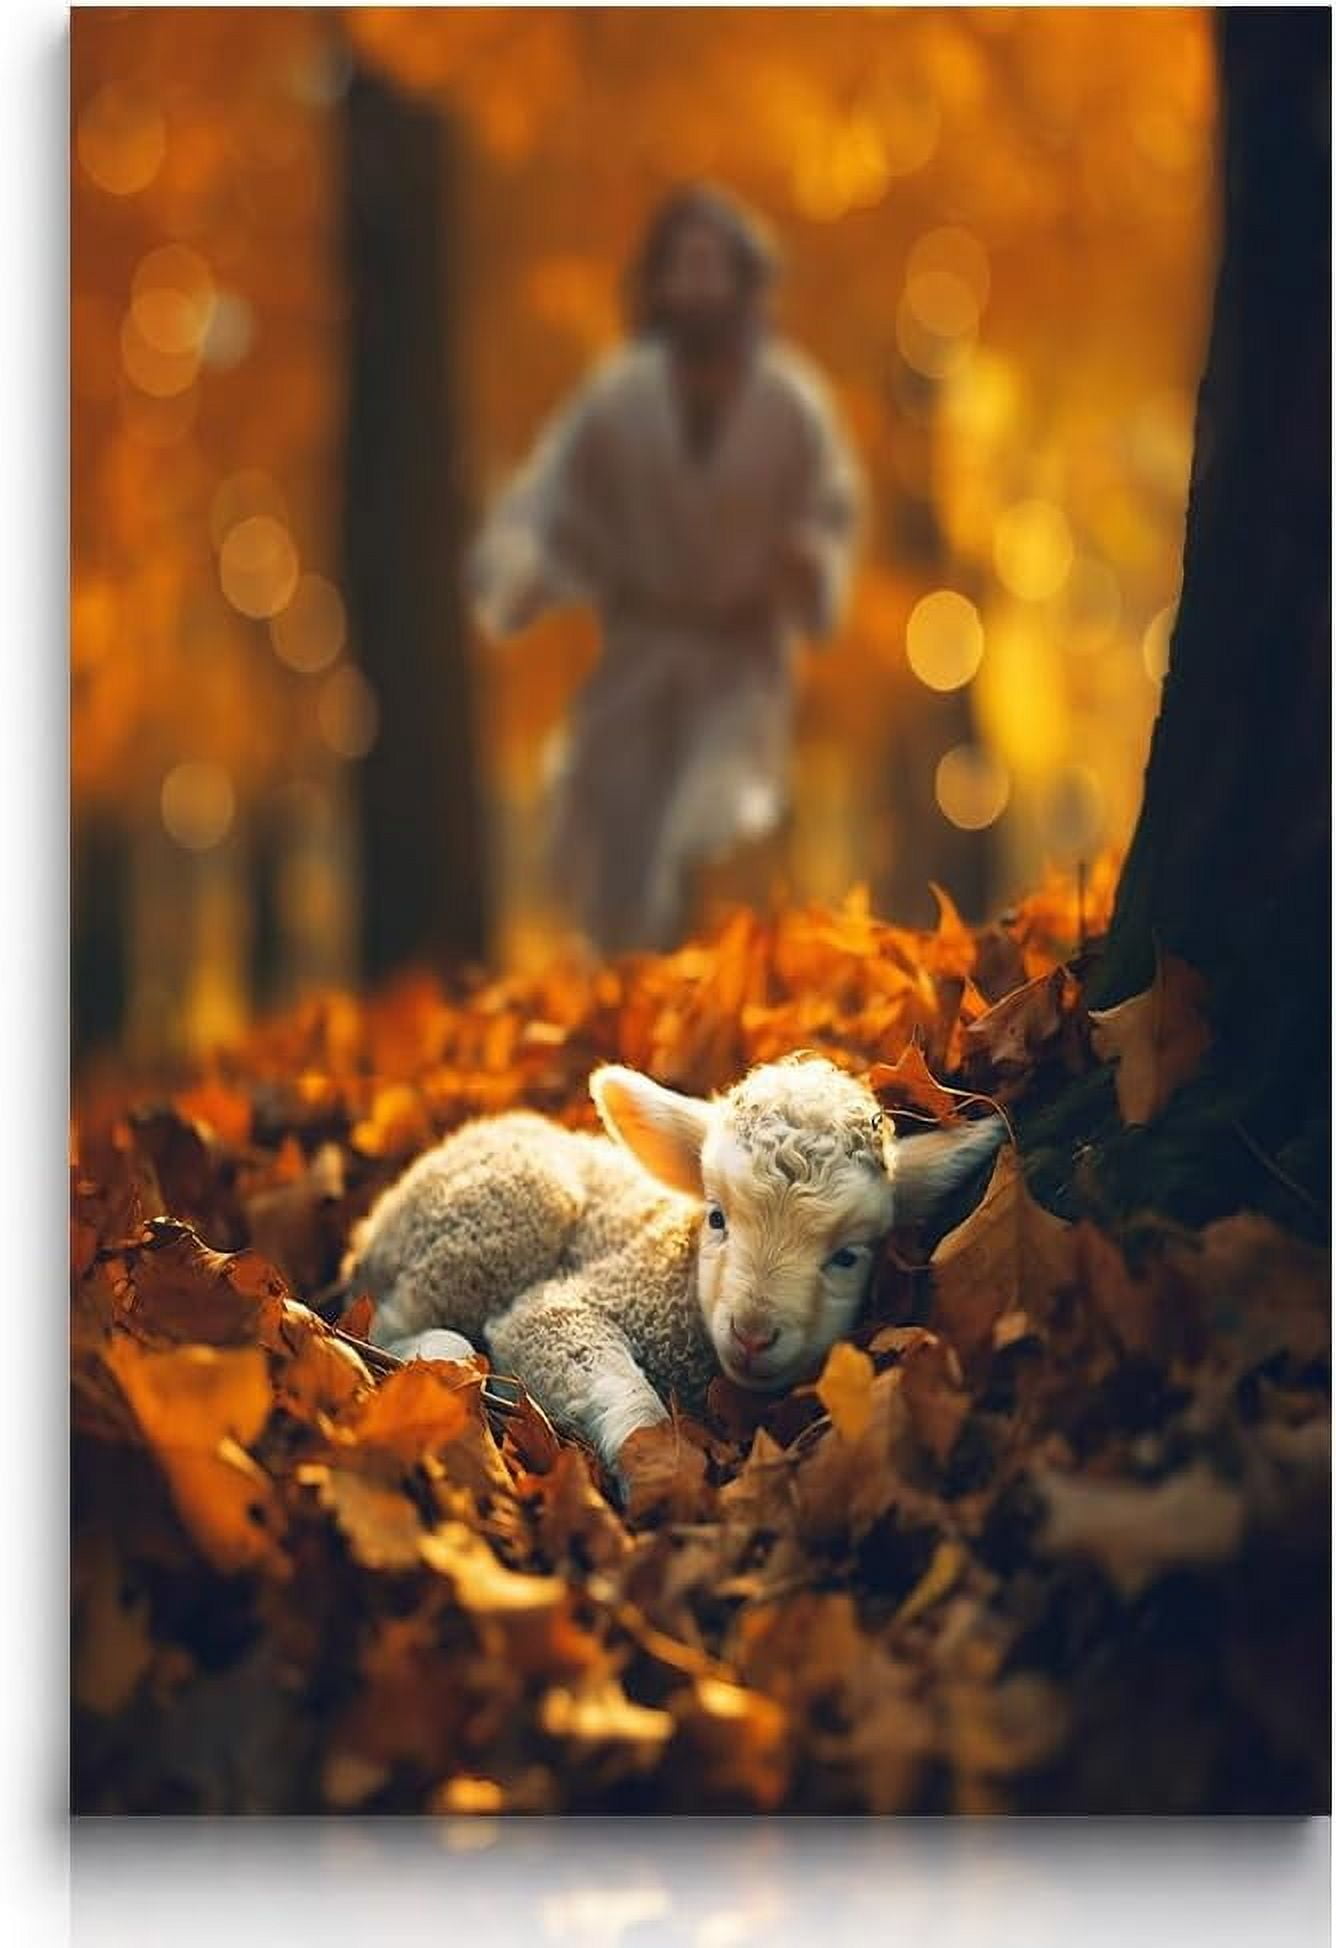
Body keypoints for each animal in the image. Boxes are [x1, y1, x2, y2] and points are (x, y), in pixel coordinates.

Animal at [344, 1055, 1005, 1475]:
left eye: (848, 1257)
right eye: (717, 1218)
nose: (752, 1333)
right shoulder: (563, 1307)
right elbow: (623, 1398)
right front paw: (657, 1467)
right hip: (497, 1214)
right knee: (384, 1322)